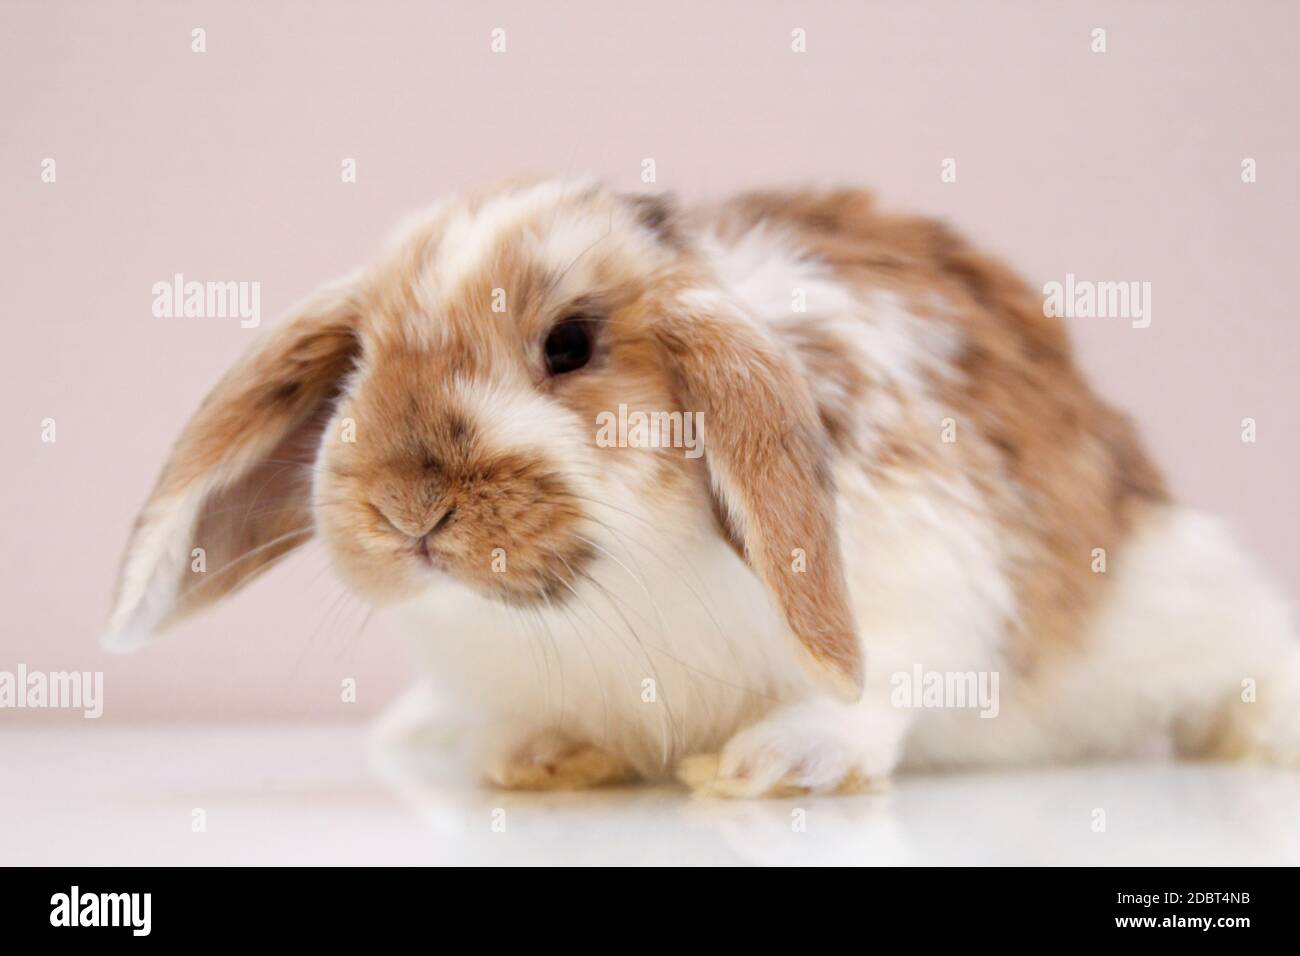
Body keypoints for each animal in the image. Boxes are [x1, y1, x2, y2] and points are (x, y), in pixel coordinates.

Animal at [103, 178, 1300, 797]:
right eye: (358, 360)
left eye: (571, 344)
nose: (405, 507)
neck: (604, 601)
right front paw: (533, 755)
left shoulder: (929, 579)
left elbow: (874, 688)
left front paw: (777, 763)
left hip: (1182, 594)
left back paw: (1257, 742)